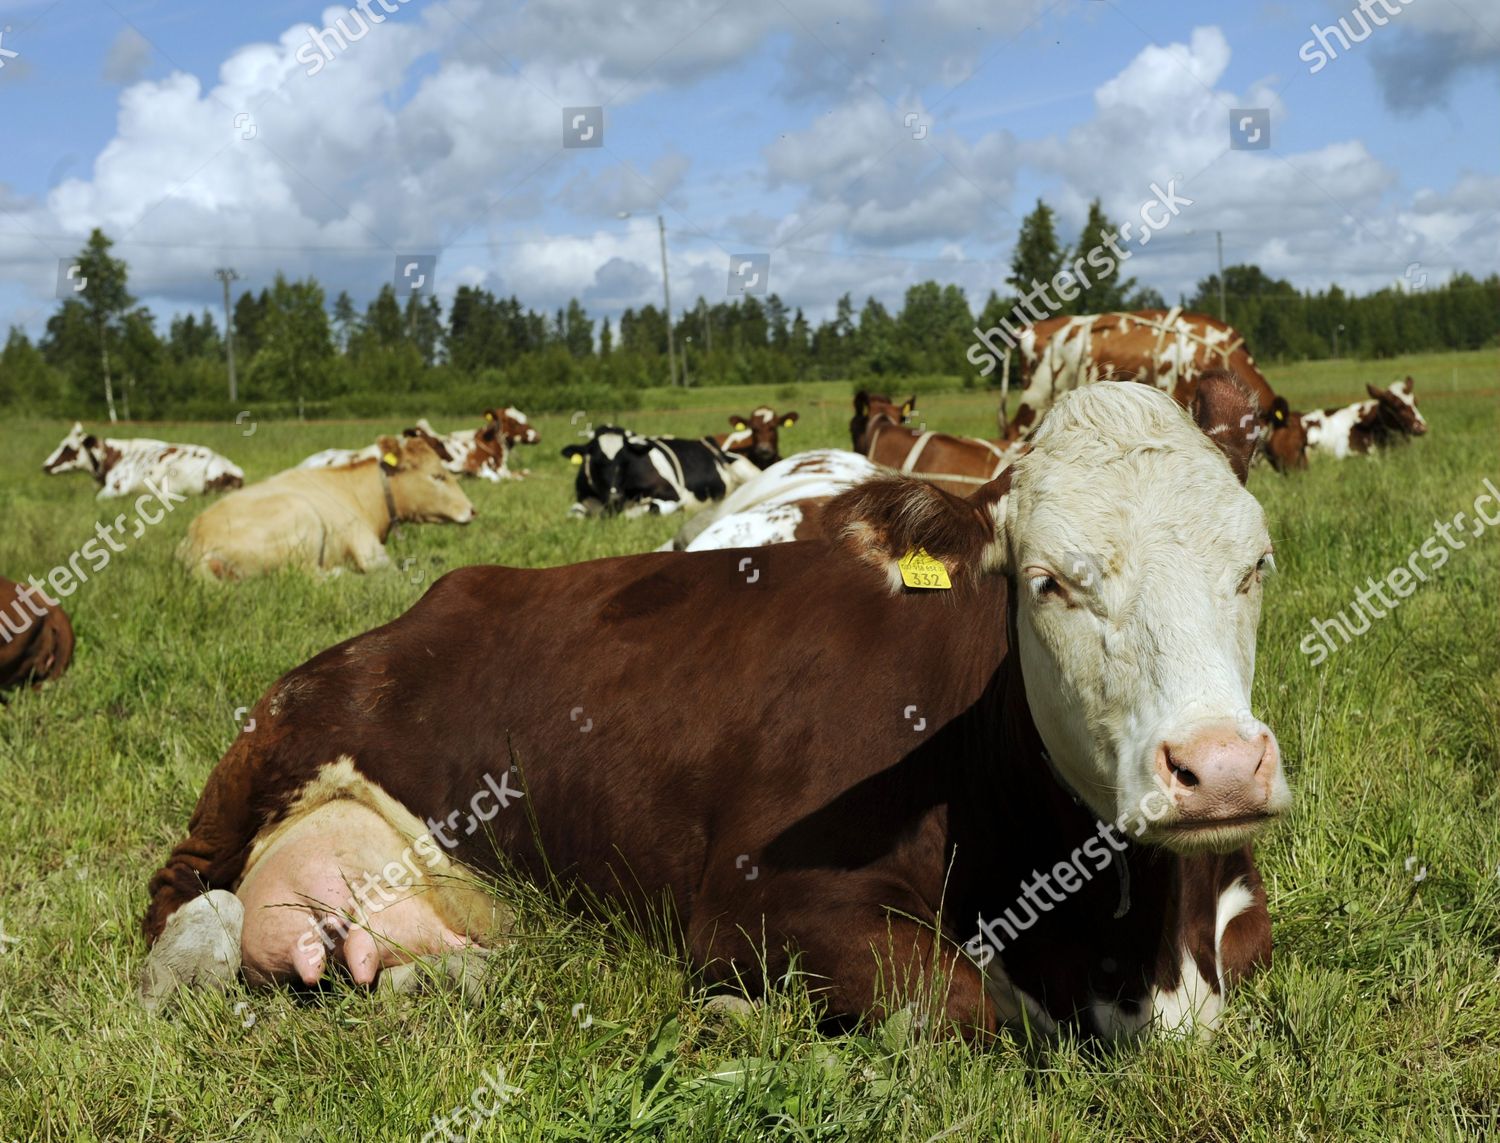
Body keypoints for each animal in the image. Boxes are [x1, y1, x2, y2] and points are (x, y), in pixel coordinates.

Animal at [178, 435, 474, 580]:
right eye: (438, 475)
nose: (472, 509)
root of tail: (197, 538)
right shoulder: (368, 549)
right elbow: (392, 570)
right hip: (303, 518)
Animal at [561, 428, 762, 518]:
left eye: (625, 461)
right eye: (595, 461)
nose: (614, 496)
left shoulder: (673, 495)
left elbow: (648, 509)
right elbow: (574, 514)